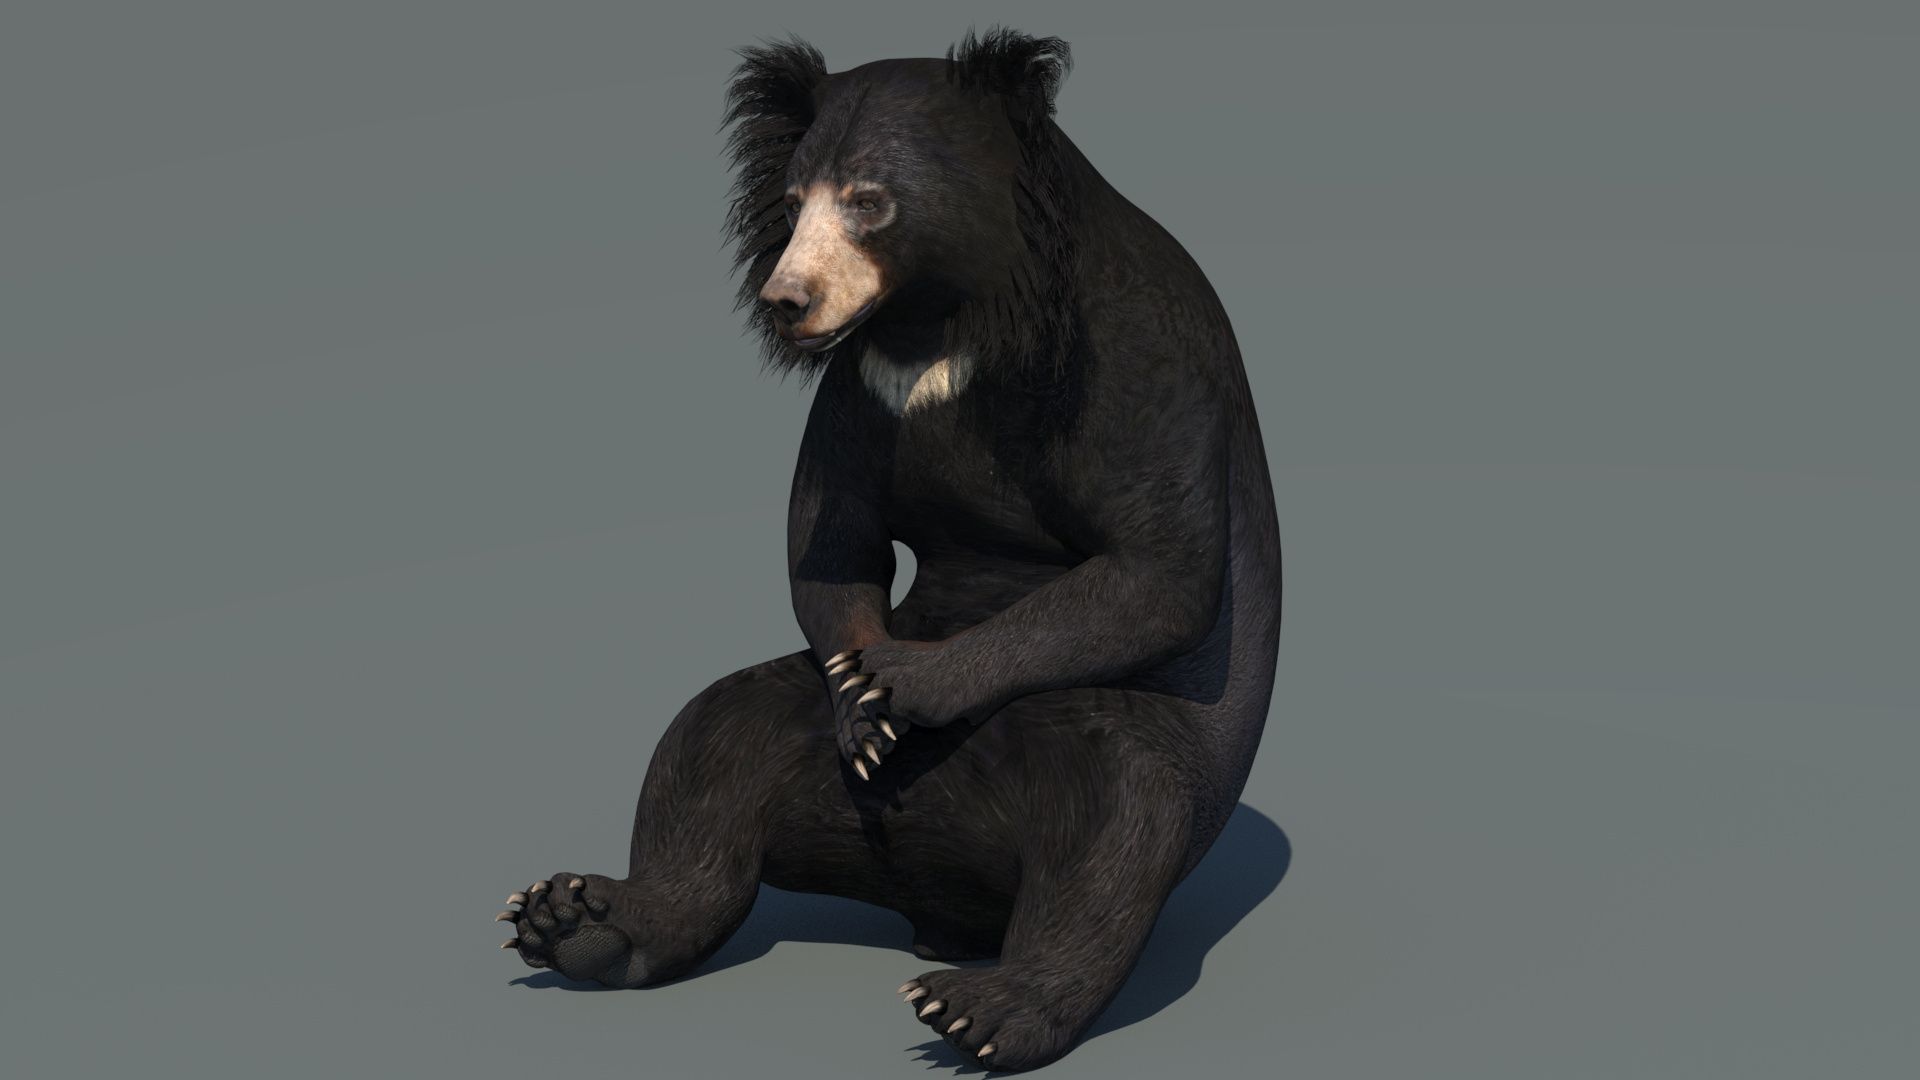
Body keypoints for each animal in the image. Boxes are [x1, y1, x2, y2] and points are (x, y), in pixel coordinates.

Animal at [496, 27, 1283, 1073]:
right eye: (793, 203)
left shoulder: (1134, 352)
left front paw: (903, 683)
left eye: (869, 200)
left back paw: (977, 1006)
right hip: (786, 749)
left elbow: (1156, 567)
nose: (786, 300)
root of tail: (930, 898)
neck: (949, 317)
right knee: (709, 753)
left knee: (1112, 821)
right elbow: (831, 543)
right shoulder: (860, 382)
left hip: (1140, 742)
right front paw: (862, 712)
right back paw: (574, 919)